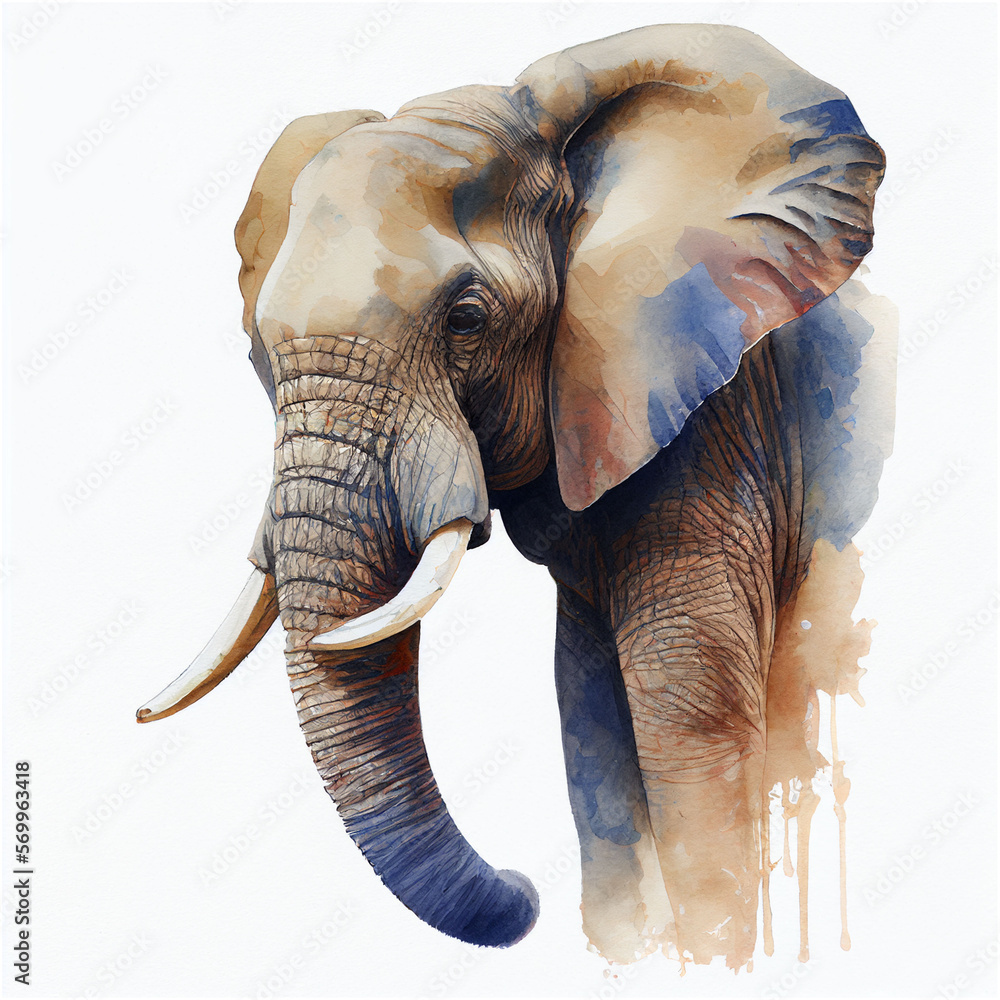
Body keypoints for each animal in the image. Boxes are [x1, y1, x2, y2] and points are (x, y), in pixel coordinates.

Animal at [138, 24, 893, 969]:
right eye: (263, 347)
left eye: (466, 319)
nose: (521, 892)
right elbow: (592, 722)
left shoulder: (715, 430)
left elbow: (688, 712)